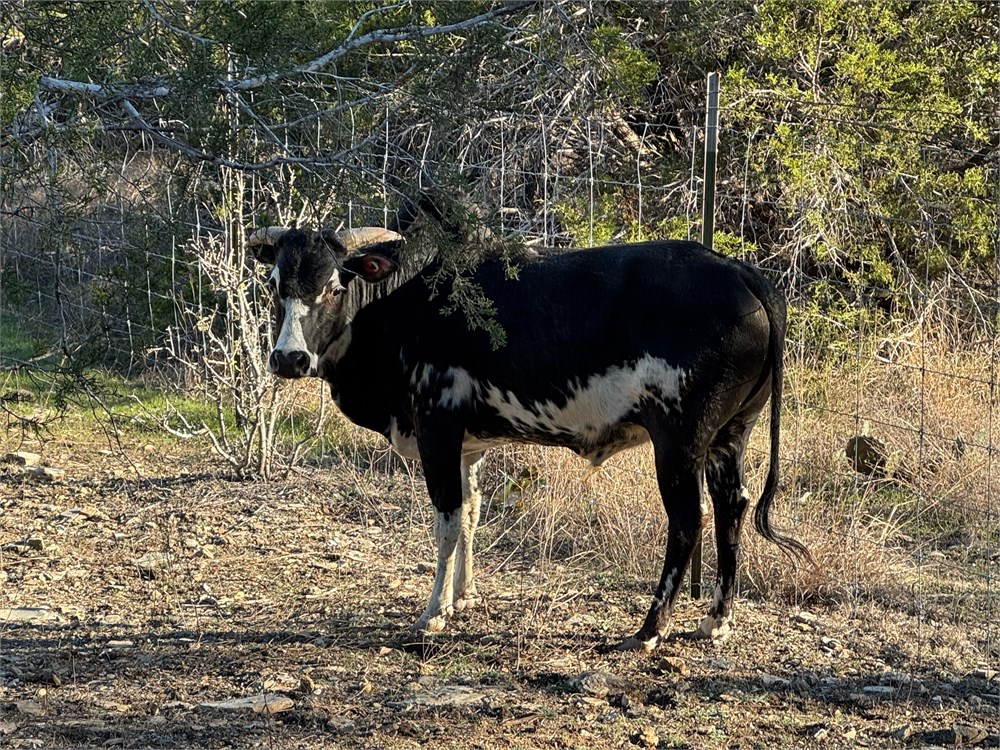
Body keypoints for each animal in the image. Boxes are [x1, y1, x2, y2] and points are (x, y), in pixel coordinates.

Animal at [247, 217, 809, 651]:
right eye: (275, 285)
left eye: (334, 287)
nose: (289, 358)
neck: (407, 304)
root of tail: (741, 272)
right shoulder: (468, 445)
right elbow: (472, 514)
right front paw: (465, 595)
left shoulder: (436, 430)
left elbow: (447, 520)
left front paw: (433, 613)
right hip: (728, 435)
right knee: (732, 507)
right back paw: (715, 620)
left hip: (680, 439)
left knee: (689, 520)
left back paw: (649, 629)